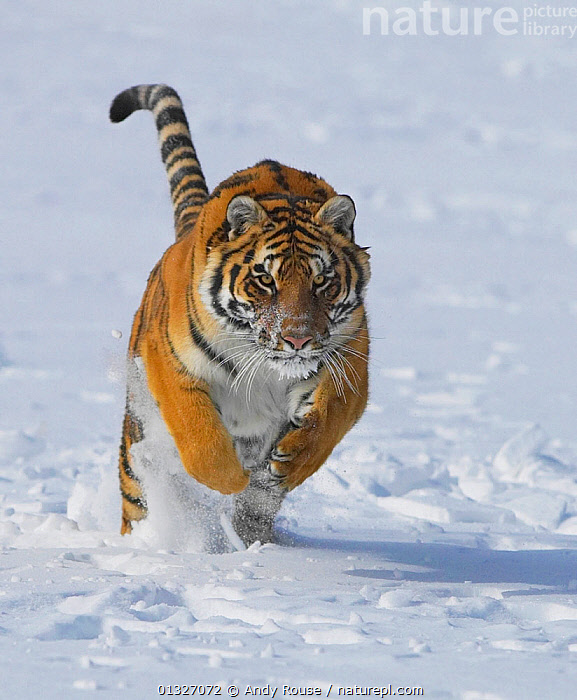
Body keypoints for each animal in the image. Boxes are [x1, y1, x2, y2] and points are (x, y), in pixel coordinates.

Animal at [110, 84, 370, 547]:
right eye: (265, 280)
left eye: (322, 280)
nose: (297, 339)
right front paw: (229, 479)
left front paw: (288, 466)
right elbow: (200, 438)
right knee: (137, 494)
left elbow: (327, 419)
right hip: (137, 441)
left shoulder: (352, 364)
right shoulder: (170, 364)